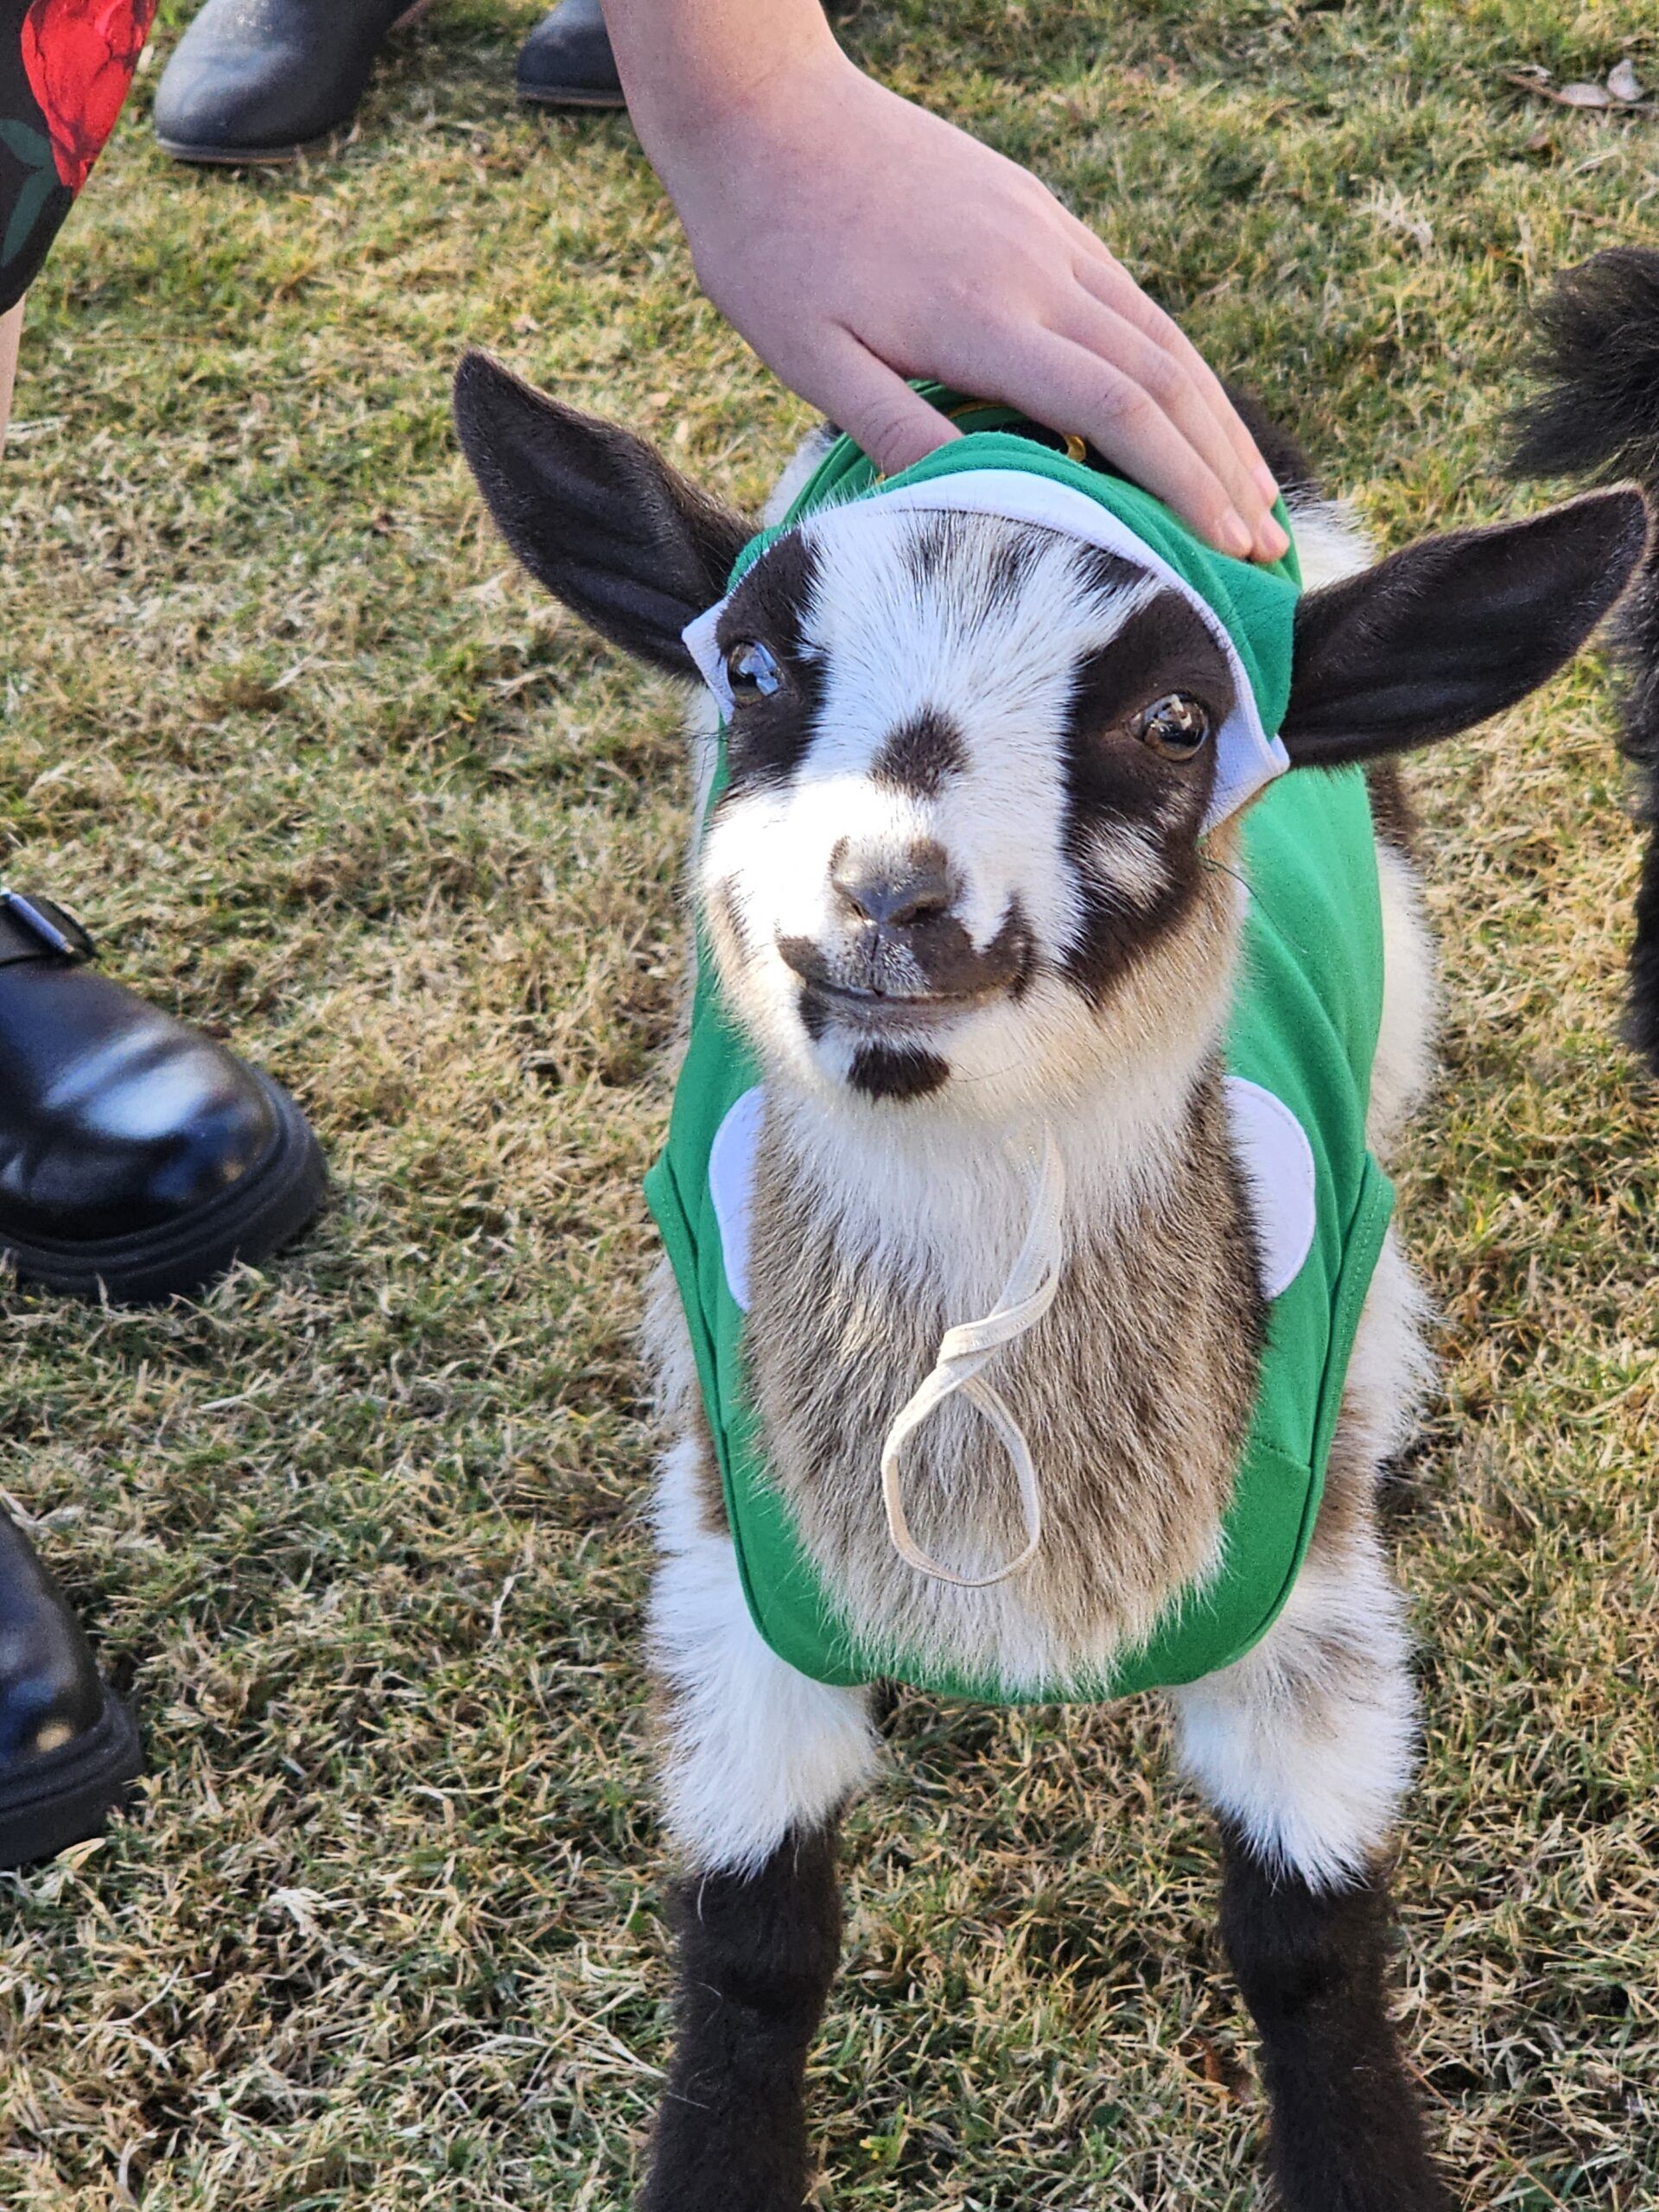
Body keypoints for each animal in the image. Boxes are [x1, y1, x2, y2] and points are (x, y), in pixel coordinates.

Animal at [453, 352, 1644, 2212]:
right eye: (756, 669)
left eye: (1176, 723)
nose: (889, 896)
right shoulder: (742, 1541)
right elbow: (751, 1936)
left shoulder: (1298, 1580)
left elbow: (1310, 1936)